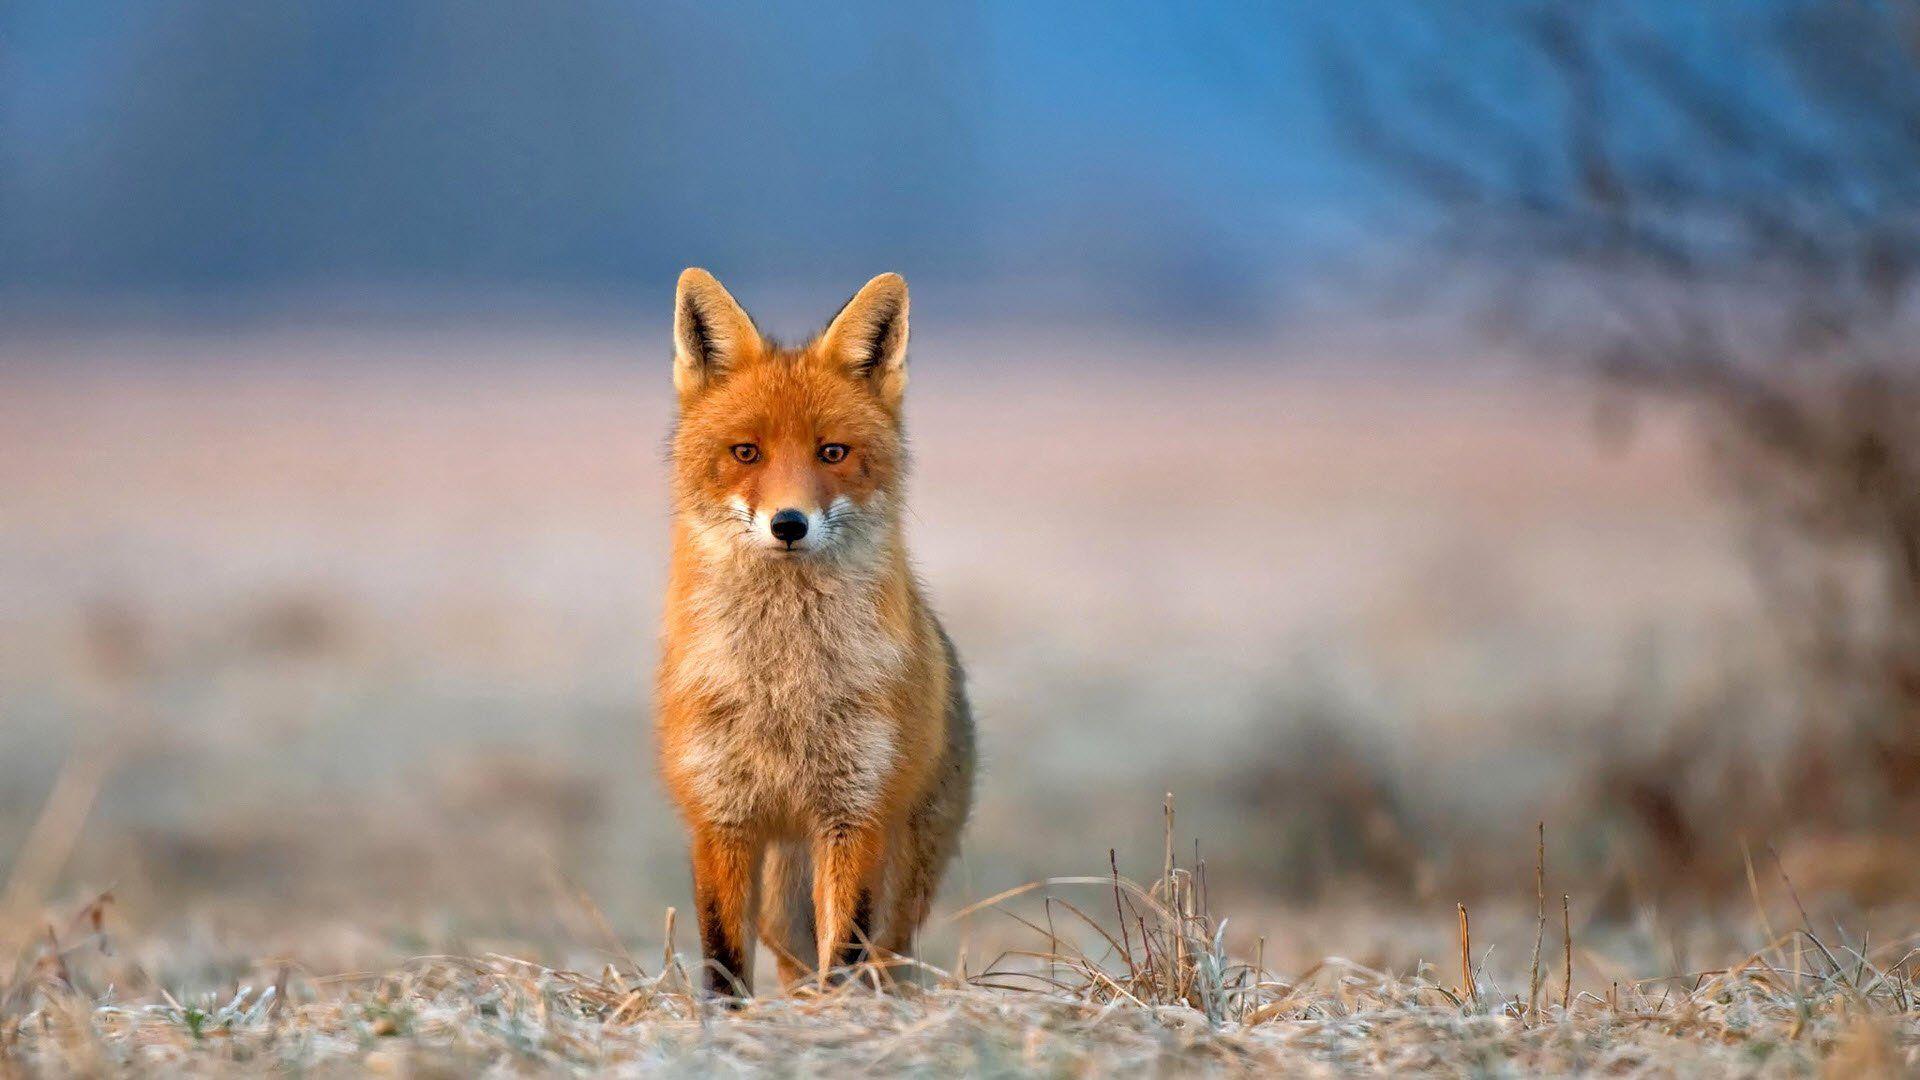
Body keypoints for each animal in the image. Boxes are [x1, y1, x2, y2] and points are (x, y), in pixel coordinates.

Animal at [654, 268, 976, 997]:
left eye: (832, 453)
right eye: (746, 452)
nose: (789, 523)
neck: (784, 687)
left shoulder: (854, 813)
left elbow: (846, 950)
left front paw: (839, 1019)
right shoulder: (720, 816)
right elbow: (722, 956)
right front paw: (726, 1019)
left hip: (899, 881)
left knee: (882, 958)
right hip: (780, 904)